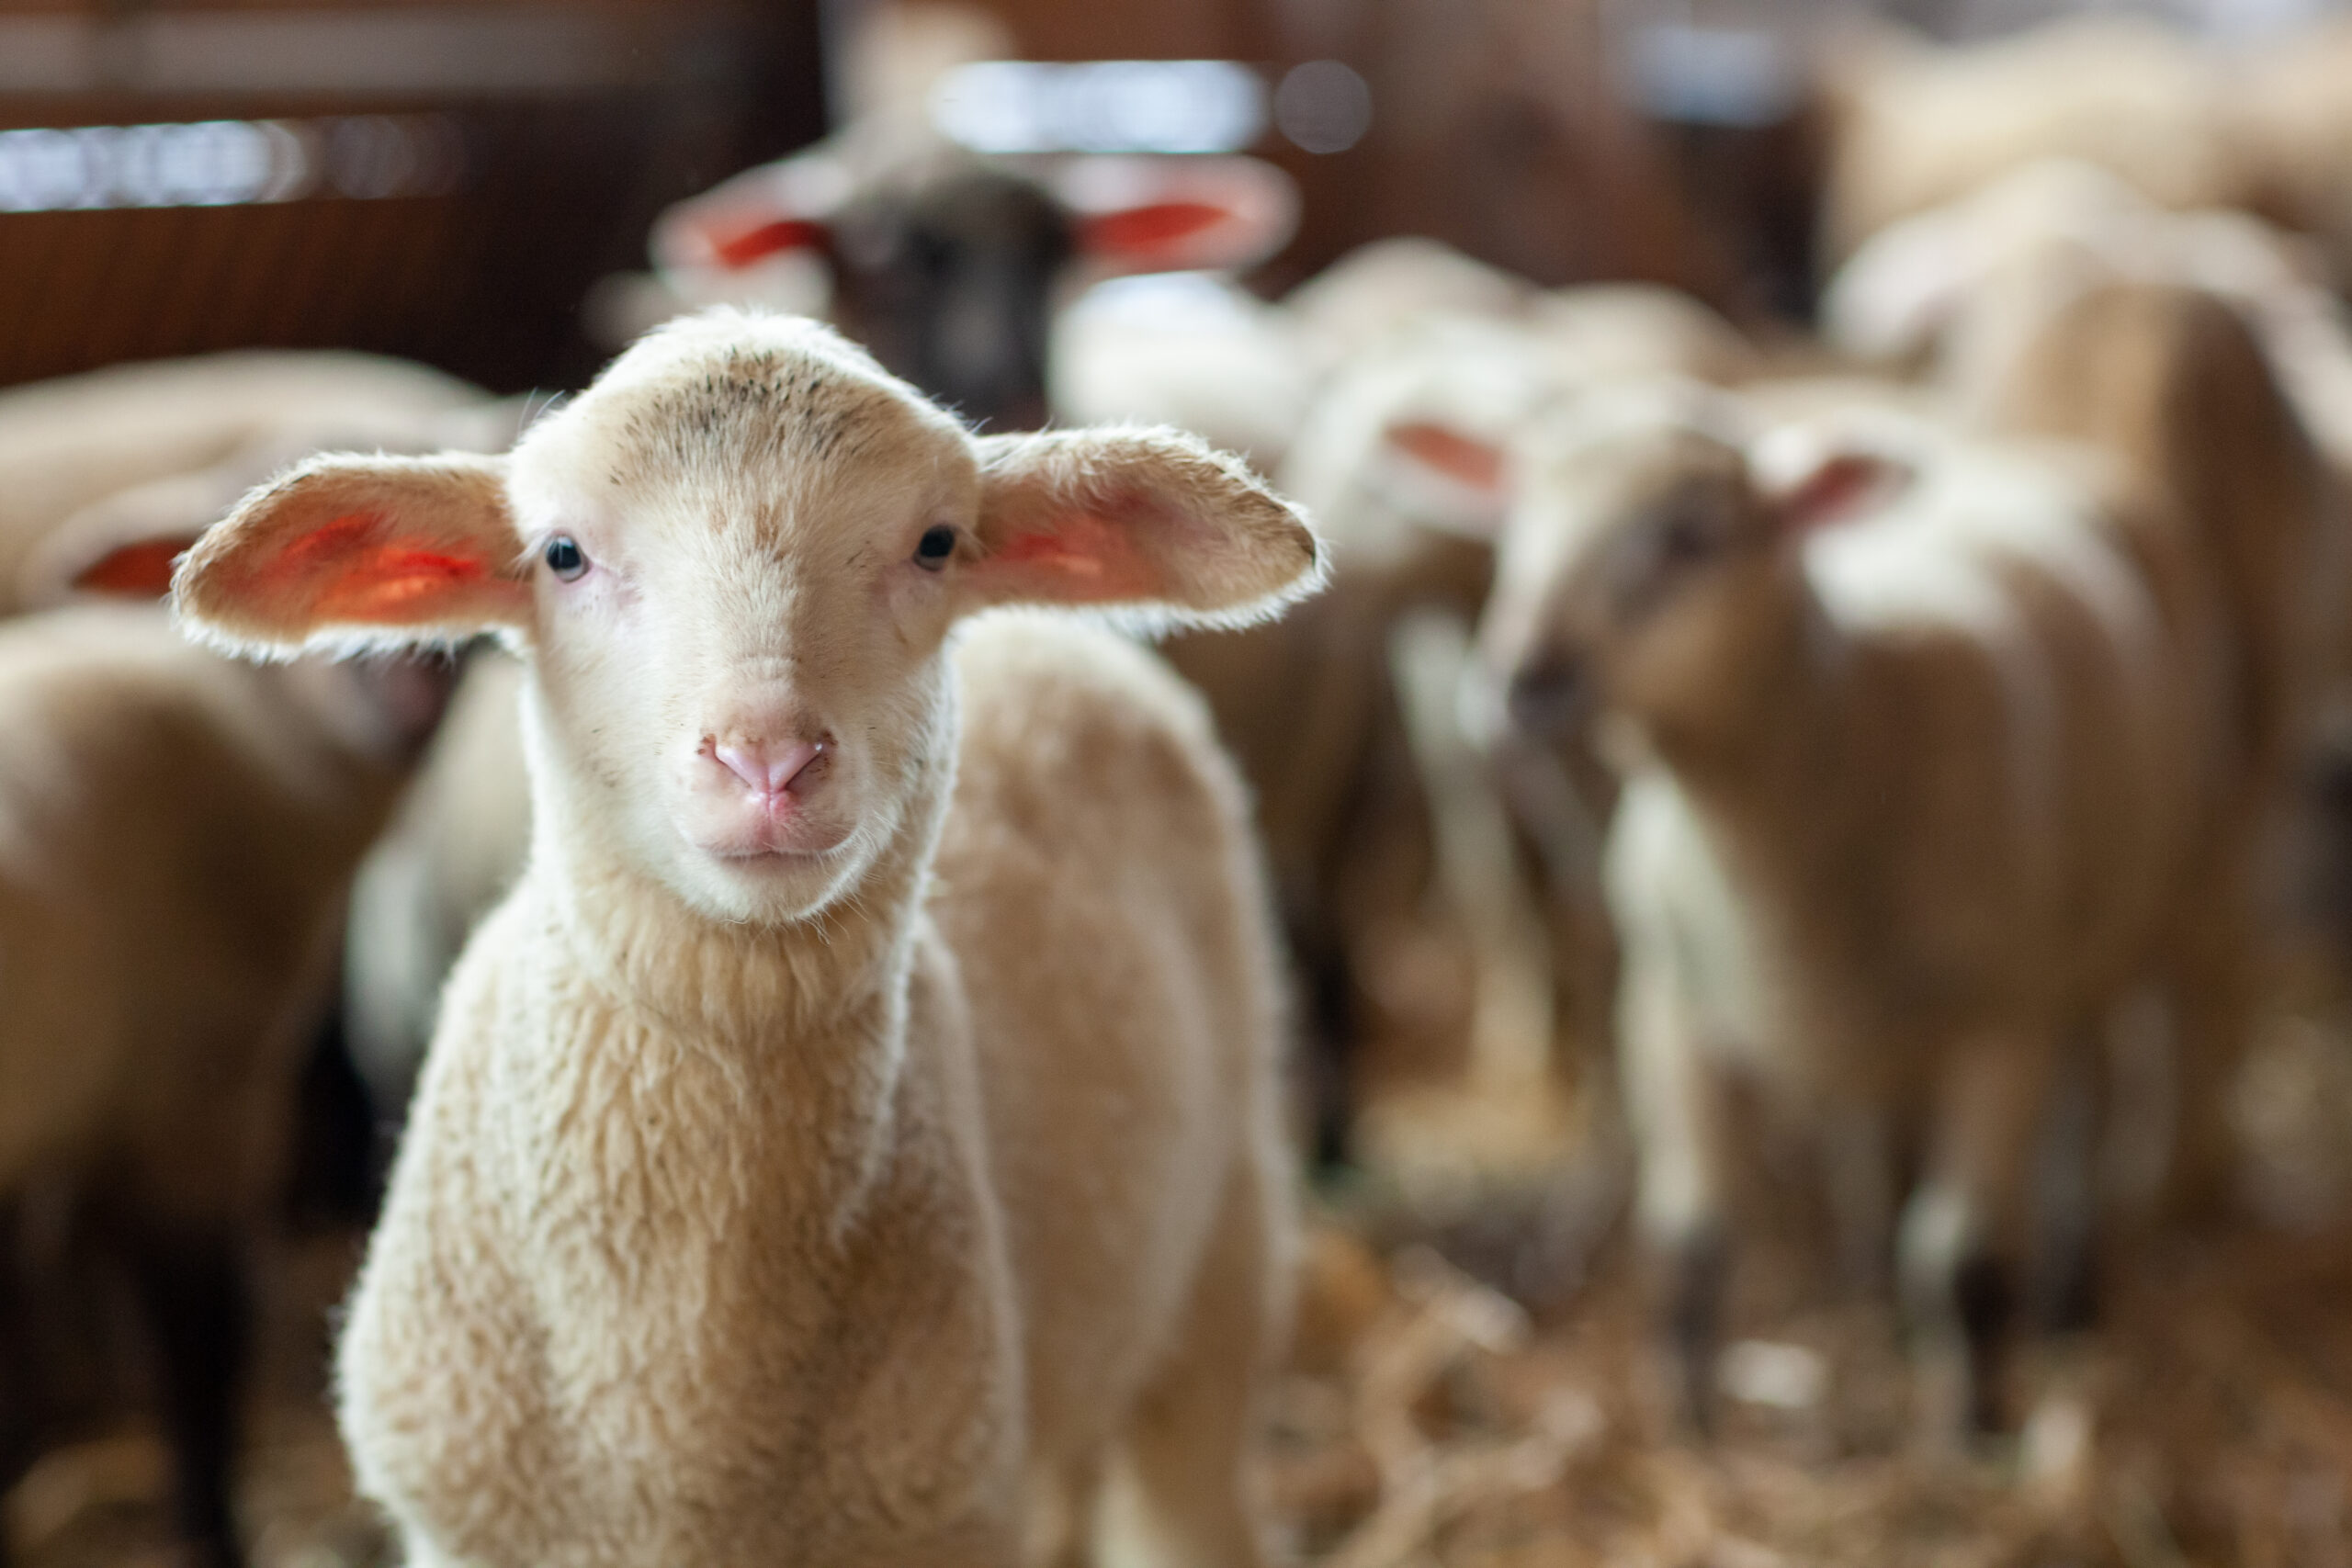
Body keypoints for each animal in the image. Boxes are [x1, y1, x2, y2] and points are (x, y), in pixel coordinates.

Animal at [1478, 384, 2226, 1434]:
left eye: (1692, 536)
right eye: (1515, 517)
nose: (1524, 676)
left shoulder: (1998, 1027)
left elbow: (1958, 1254)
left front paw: (1970, 1430)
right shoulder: (1673, 1004)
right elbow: (1692, 1233)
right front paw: (1686, 1424)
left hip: (2117, 930)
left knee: (2088, 1107)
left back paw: (2067, 1300)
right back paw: (1866, 1271)